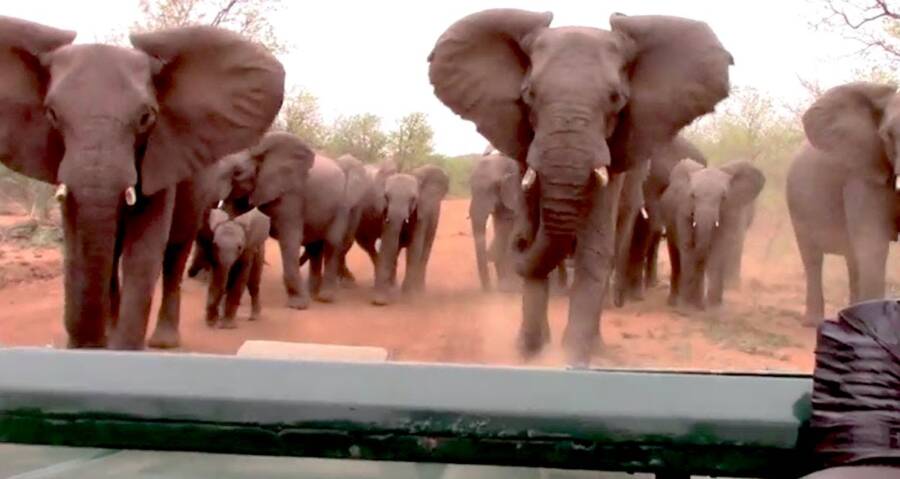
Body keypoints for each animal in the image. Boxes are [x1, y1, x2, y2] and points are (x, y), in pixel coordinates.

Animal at [0, 16, 284, 349]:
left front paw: (123, 349)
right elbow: (83, 242)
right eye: (52, 115)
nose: (84, 343)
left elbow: (144, 250)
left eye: (146, 117)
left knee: (174, 254)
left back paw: (164, 342)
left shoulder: (161, 159)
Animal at [372, 165, 450, 305]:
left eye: (413, 199)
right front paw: (380, 300)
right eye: (386, 197)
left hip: (434, 222)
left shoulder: (422, 213)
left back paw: (420, 291)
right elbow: (388, 244)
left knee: (425, 252)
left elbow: (415, 247)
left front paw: (408, 297)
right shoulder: (386, 214)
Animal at [660, 159, 765, 310]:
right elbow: (687, 247)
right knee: (675, 255)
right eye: (692, 196)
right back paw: (674, 302)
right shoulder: (683, 210)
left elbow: (718, 250)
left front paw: (713, 309)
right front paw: (686, 309)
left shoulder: (730, 211)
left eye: (723, 197)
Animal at [786, 81, 900, 326]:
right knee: (813, 258)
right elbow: (872, 242)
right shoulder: (862, 173)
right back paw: (813, 322)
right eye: (887, 135)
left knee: (852, 259)